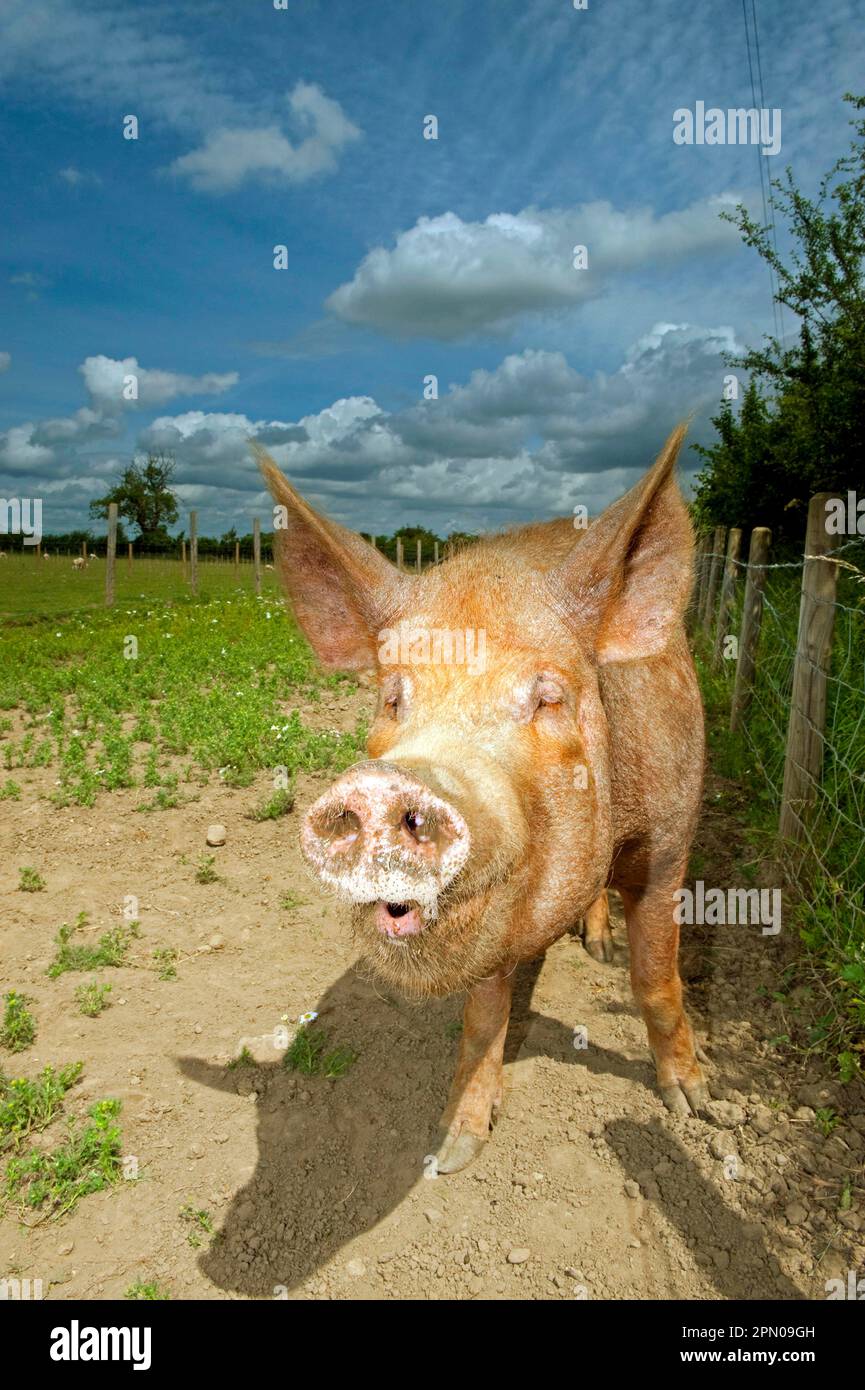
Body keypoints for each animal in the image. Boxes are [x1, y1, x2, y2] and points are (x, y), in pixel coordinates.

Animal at [256, 423, 707, 1173]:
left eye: (548, 696)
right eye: (392, 698)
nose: (387, 786)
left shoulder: (673, 834)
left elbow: (656, 976)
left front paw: (694, 1105)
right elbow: (484, 1013)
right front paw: (452, 1151)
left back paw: (601, 952)